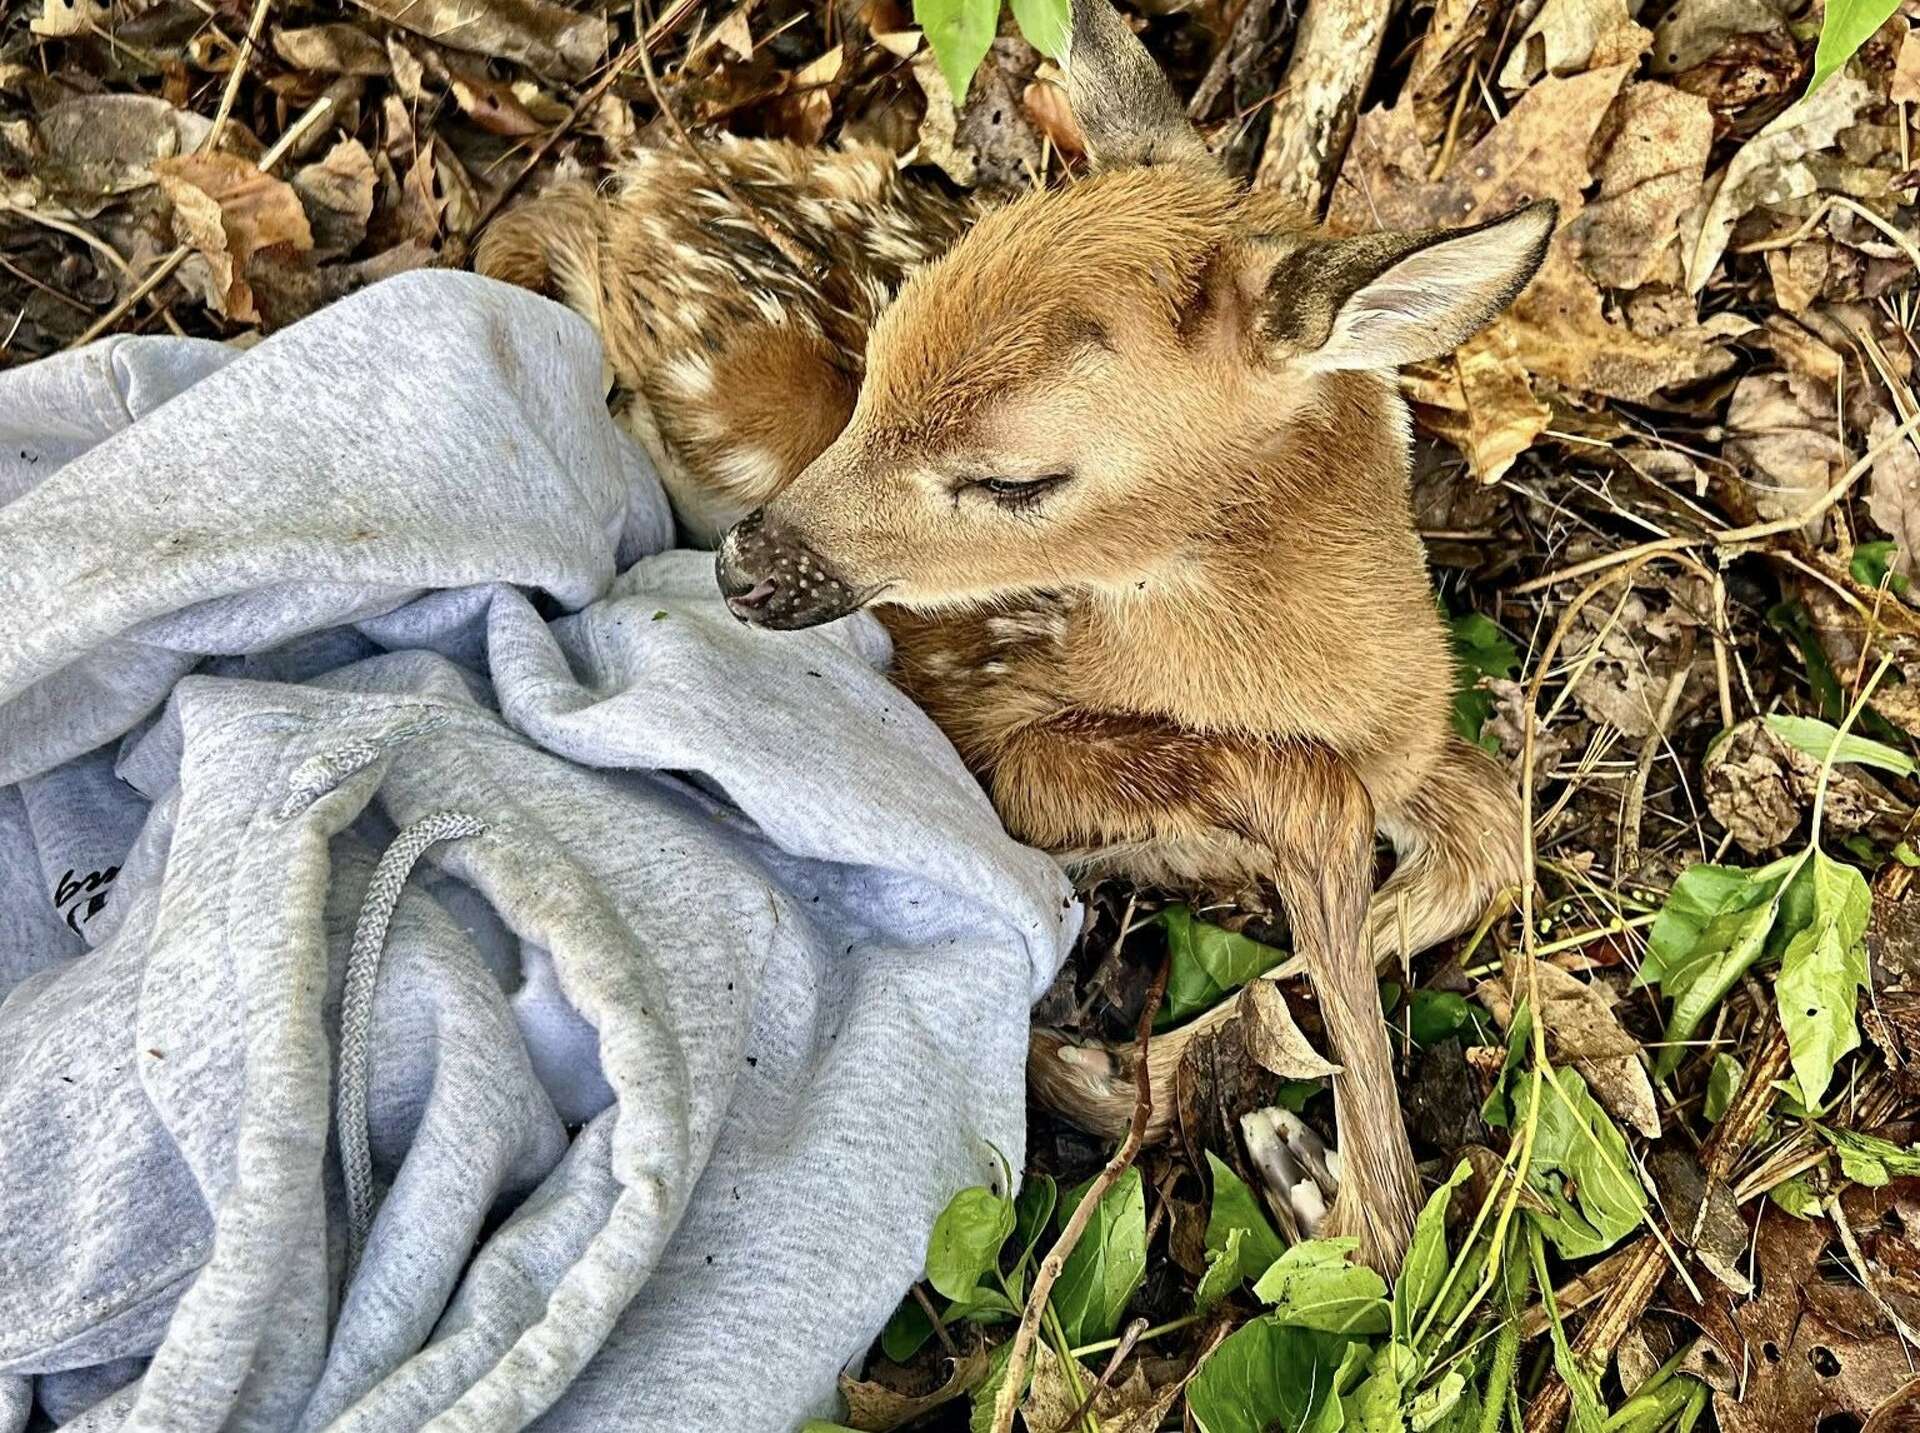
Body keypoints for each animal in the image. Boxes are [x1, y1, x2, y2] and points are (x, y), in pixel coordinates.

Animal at [475, 0, 1547, 1271]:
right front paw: (1311, 1165)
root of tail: (646, 183)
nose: (744, 567)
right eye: (879, 357)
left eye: (1014, 478)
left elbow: (1491, 828)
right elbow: (1300, 797)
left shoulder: (1408, 743)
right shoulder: (991, 730)